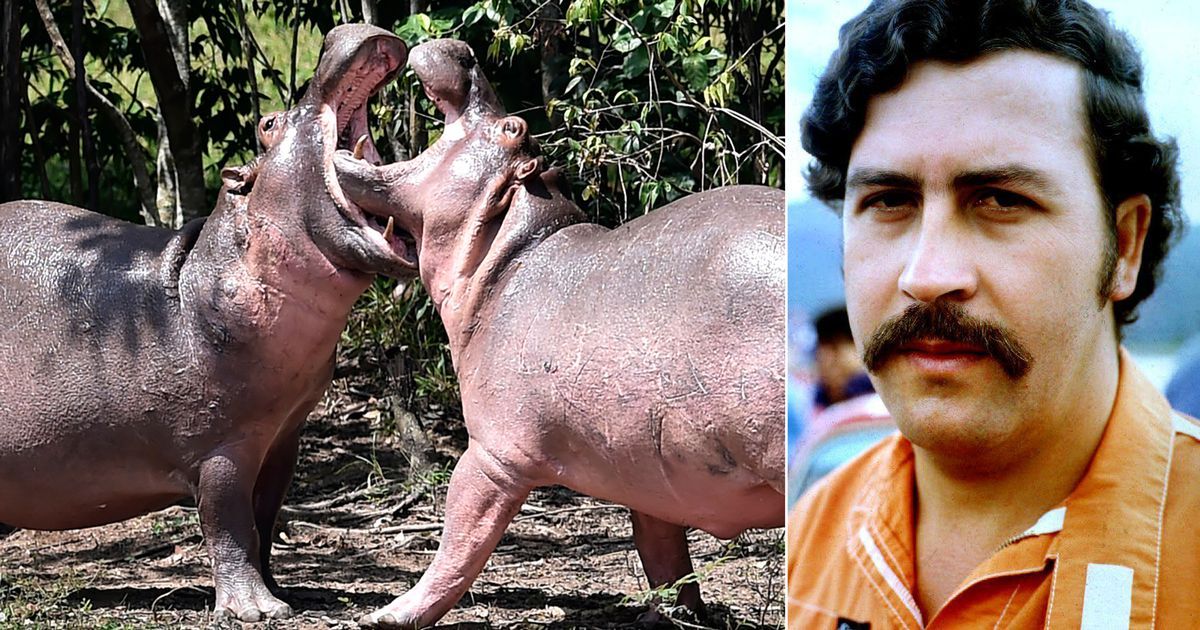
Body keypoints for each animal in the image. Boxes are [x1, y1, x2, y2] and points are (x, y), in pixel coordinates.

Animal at [0, 25, 416, 621]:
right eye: (269, 123)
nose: (340, 32)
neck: (205, 276)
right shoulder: (220, 447)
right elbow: (229, 527)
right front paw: (258, 611)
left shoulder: (282, 439)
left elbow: (264, 523)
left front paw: (285, 594)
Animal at [334, 39, 785, 628]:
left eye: (511, 128)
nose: (464, 49)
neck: (511, 252)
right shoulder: (645, 469)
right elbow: (662, 553)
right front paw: (672, 616)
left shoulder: (491, 456)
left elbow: (457, 543)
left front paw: (388, 615)